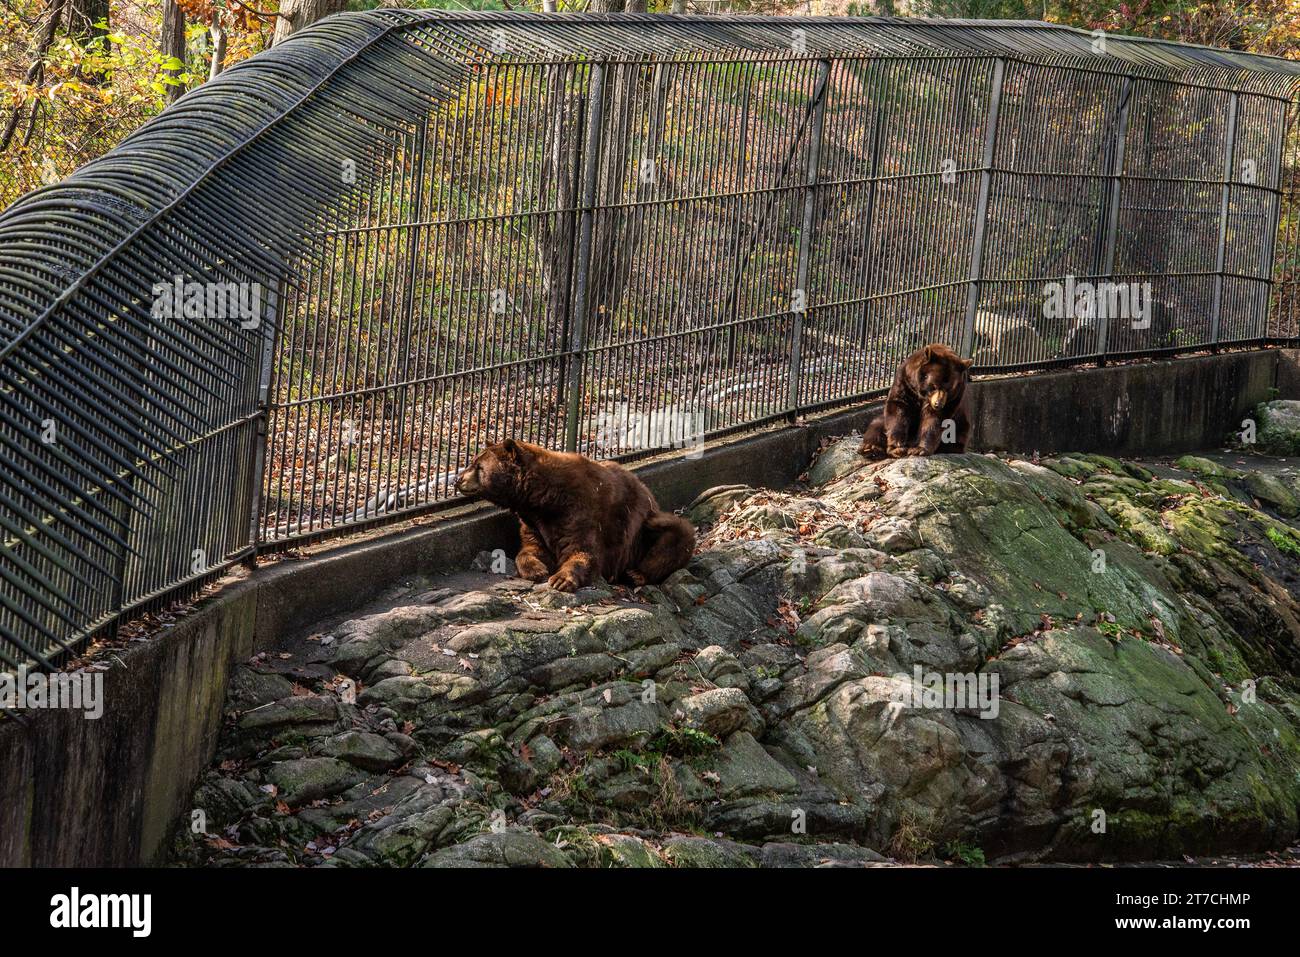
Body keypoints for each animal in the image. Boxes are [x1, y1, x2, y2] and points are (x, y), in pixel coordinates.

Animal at [453, 438, 696, 592]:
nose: (457, 478)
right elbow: (531, 549)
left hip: (646, 529)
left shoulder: (579, 512)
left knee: (674, 535)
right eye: (474, 461)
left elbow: (583, 551)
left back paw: (636, 574)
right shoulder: (534, 522)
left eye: (478, 466)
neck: (542, 498)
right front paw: (537, 570)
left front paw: (561, 579)